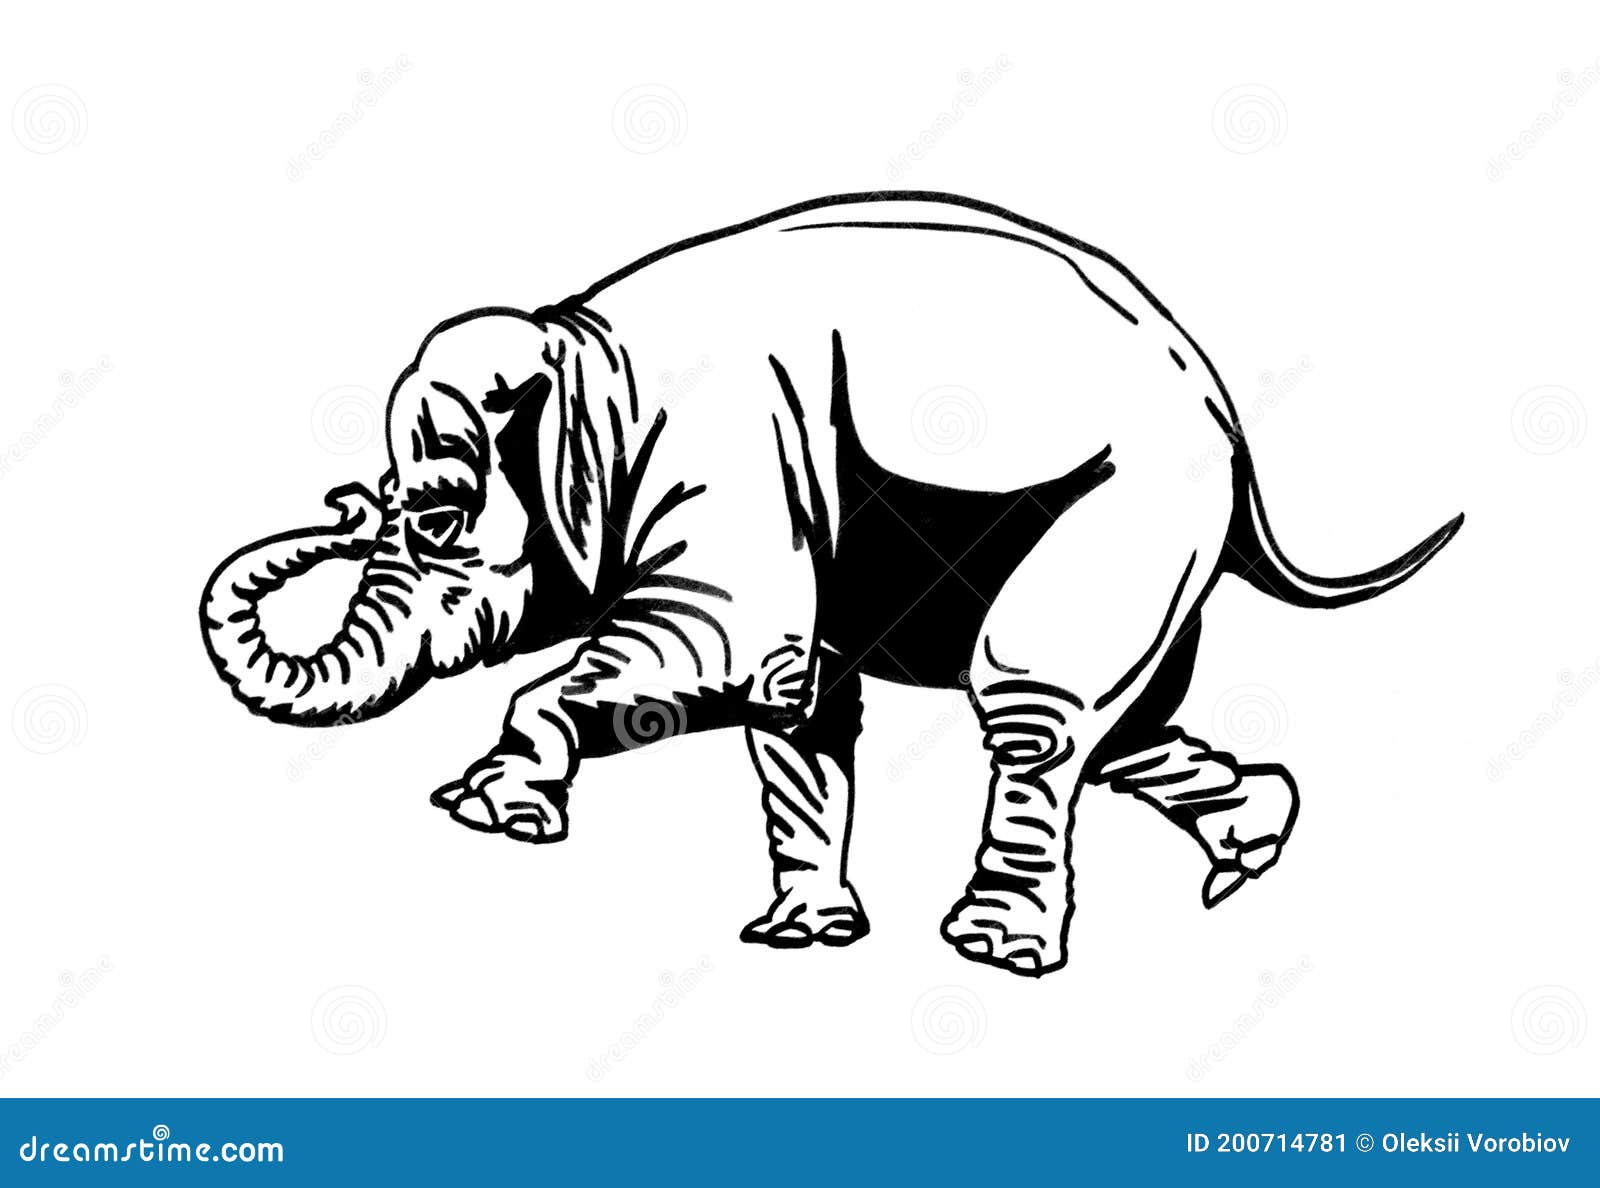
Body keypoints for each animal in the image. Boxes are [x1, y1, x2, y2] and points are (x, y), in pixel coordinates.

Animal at [200, 192, 1462, 976]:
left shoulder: (725, 456)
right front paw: (803, 941)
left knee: (1036, 709)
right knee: (1124, 727)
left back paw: (995, 950)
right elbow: (794, 703)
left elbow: (718, 652)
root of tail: (1233, 433)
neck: (579, 352)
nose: (335, 509)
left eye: (433, 518)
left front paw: (488, 809)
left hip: (1125, 510)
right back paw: (1250, 848)